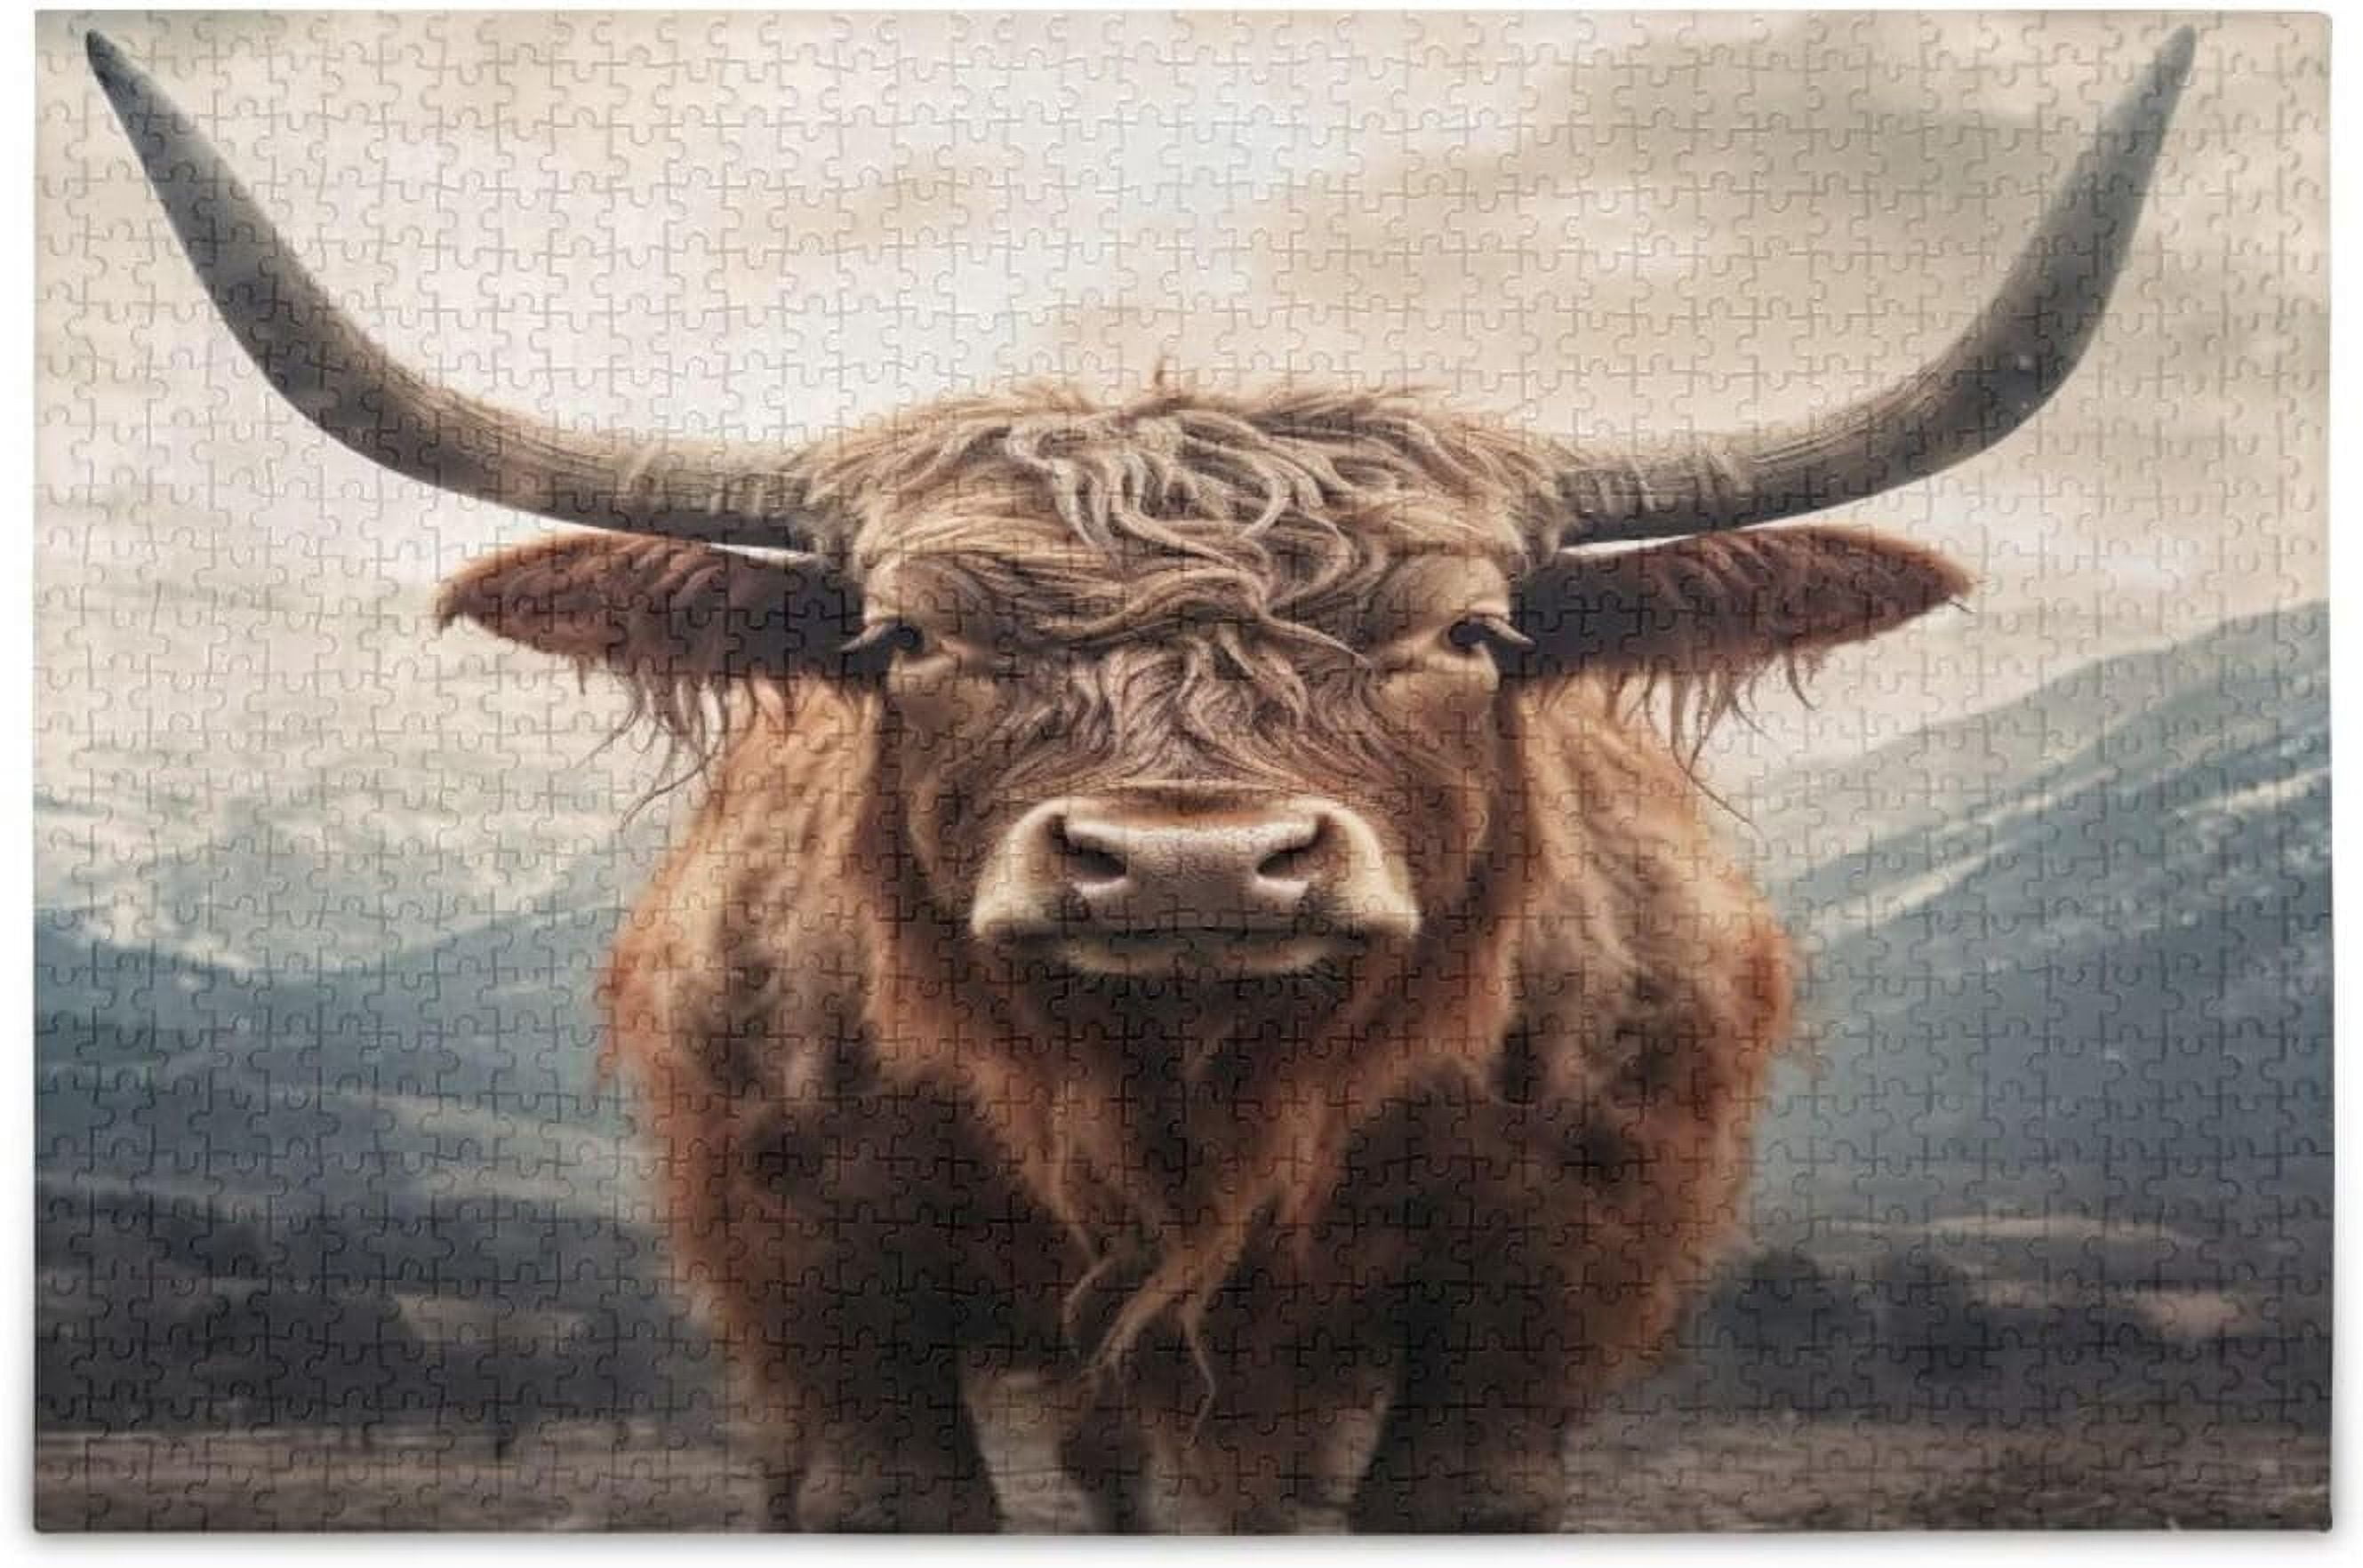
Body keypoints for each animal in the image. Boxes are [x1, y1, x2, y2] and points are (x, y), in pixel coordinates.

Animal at [87, 27, 2192, 1531]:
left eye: (1472, 633)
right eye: (901, 638)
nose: (1191, 868)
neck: (1187, 1113)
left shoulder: (1520, 1334)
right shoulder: (832, 1316)